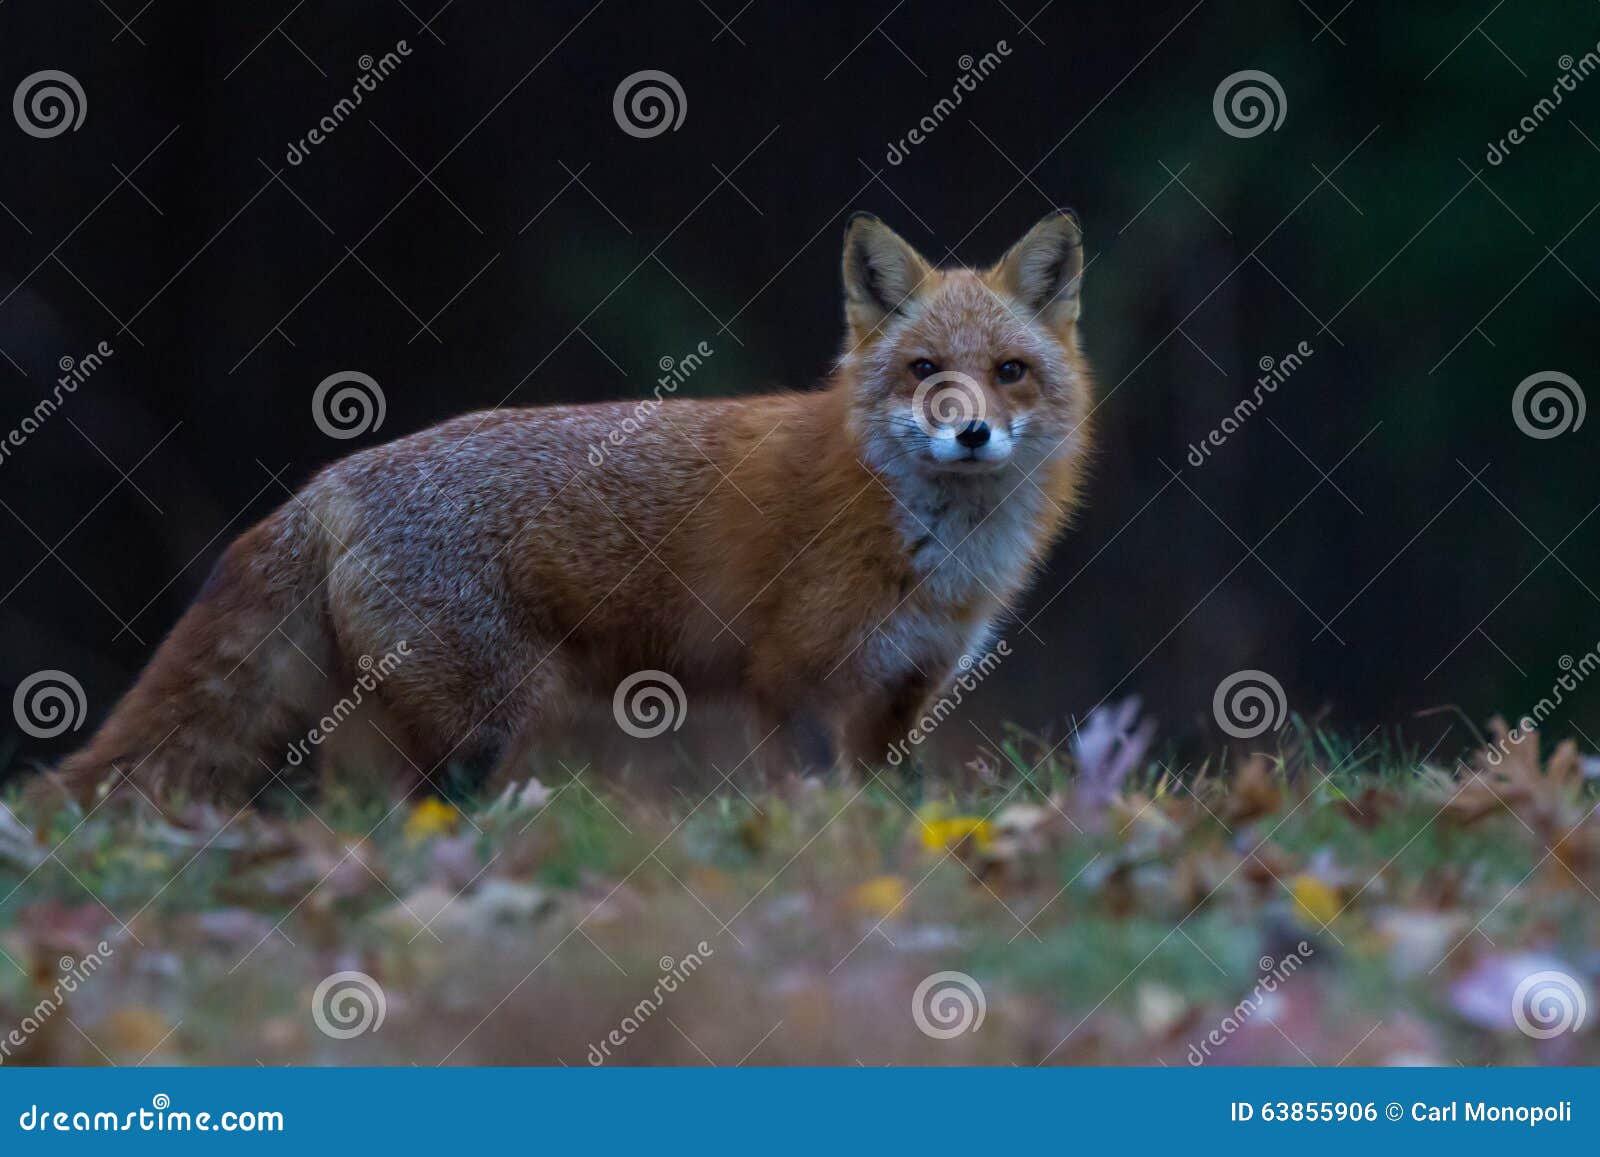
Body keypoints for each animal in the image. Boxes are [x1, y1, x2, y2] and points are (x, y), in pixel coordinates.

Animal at [48, 210, 1093, 804]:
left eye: (1009, 372)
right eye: (924, 371)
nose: (971, 433)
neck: (936, 549)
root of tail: (326, 483)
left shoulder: (906, 692)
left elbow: (899, 813)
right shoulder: (789, 679)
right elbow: (816, 802)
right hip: (482, 723)